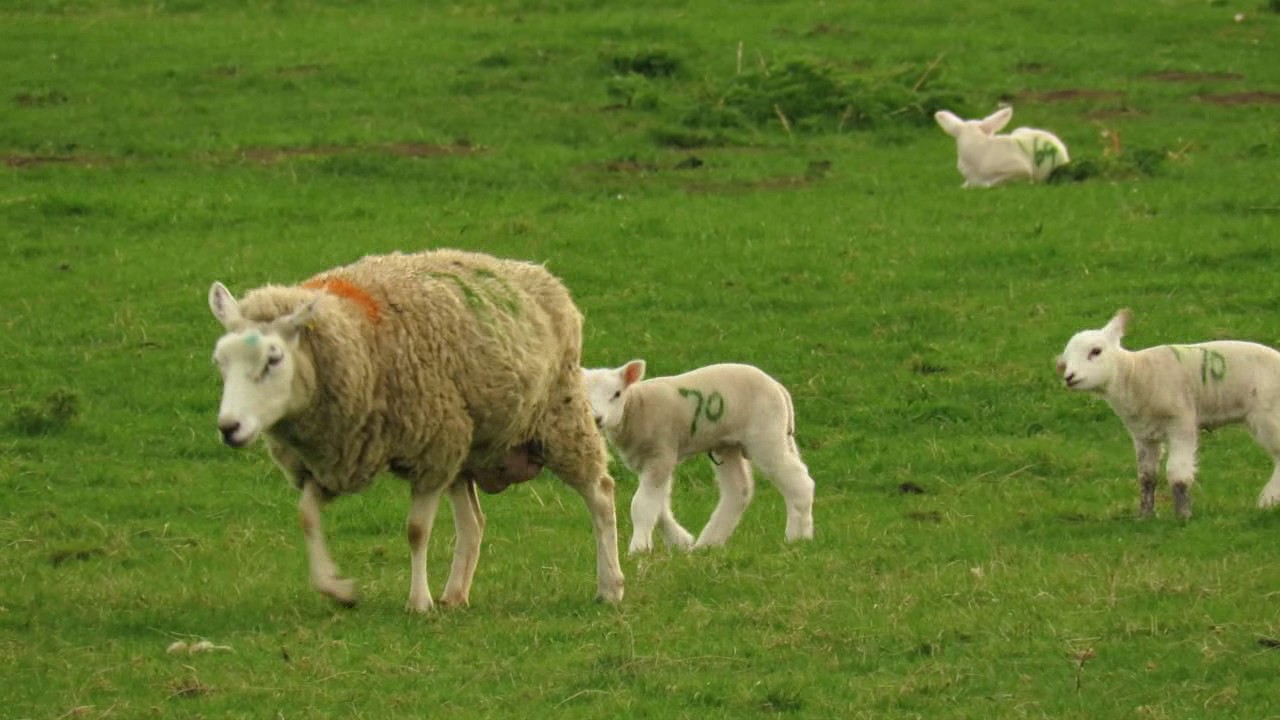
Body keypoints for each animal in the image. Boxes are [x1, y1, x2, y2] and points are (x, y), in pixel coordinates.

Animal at [208, 249, 624, 611]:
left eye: (273, 359)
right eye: (220, 361)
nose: (229, 428)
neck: (357, 340)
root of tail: (539, 275)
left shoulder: (432, 450)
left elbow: (416, 530)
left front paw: (418, 602)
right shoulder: (330, 461)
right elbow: (307, 517)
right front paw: (337, 588)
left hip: (558, 417)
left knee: (600, 493)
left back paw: (610, 586)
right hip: (466, 449)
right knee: (473, 523)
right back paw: (454, 595)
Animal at [581, 360, 815, 553]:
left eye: (617, 394)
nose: (597, 418)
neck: (636, 406)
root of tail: (778, 387)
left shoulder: (660, 454)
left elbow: (643, 504)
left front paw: (638, 548)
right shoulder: (652, 460)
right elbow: (659, 505)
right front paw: (680, 541)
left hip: (765, 433)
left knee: (799, 482)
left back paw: (797, 537)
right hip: (729, 443)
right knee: (739, 490)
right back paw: (707, 544)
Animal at [1056, 309, 1280, 518]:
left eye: (1096, 351)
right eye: (1065, 360)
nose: (1069, 377)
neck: (1135, 374)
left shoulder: (1181, 423)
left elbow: (1177, 472)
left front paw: (1183, 515)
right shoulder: (1143, 434)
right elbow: (1146, 476)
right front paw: (1145, 515)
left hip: (1269, 417)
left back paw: (1267, 500)